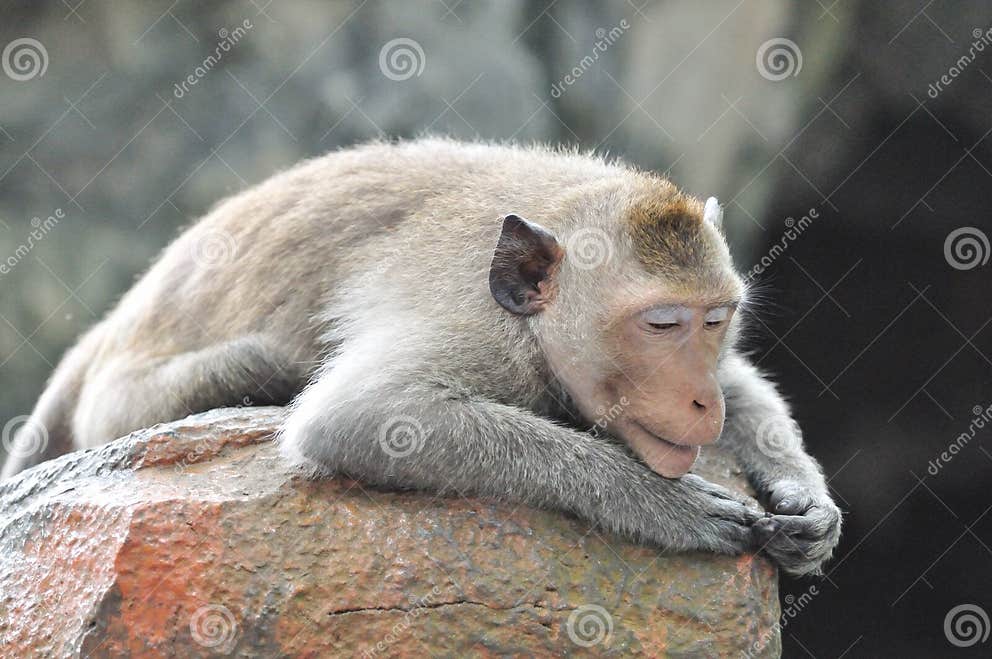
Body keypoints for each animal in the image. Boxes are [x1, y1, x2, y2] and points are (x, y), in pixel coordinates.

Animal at [1, 138, 841, 576]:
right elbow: (362, 416)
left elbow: (745, 382)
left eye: (715, 320)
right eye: (662, 324)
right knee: (264, 363)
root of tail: (105, 330)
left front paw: (806, 498)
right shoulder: (470, 325)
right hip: (126, 396)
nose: (703, 402)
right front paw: (657, 504)